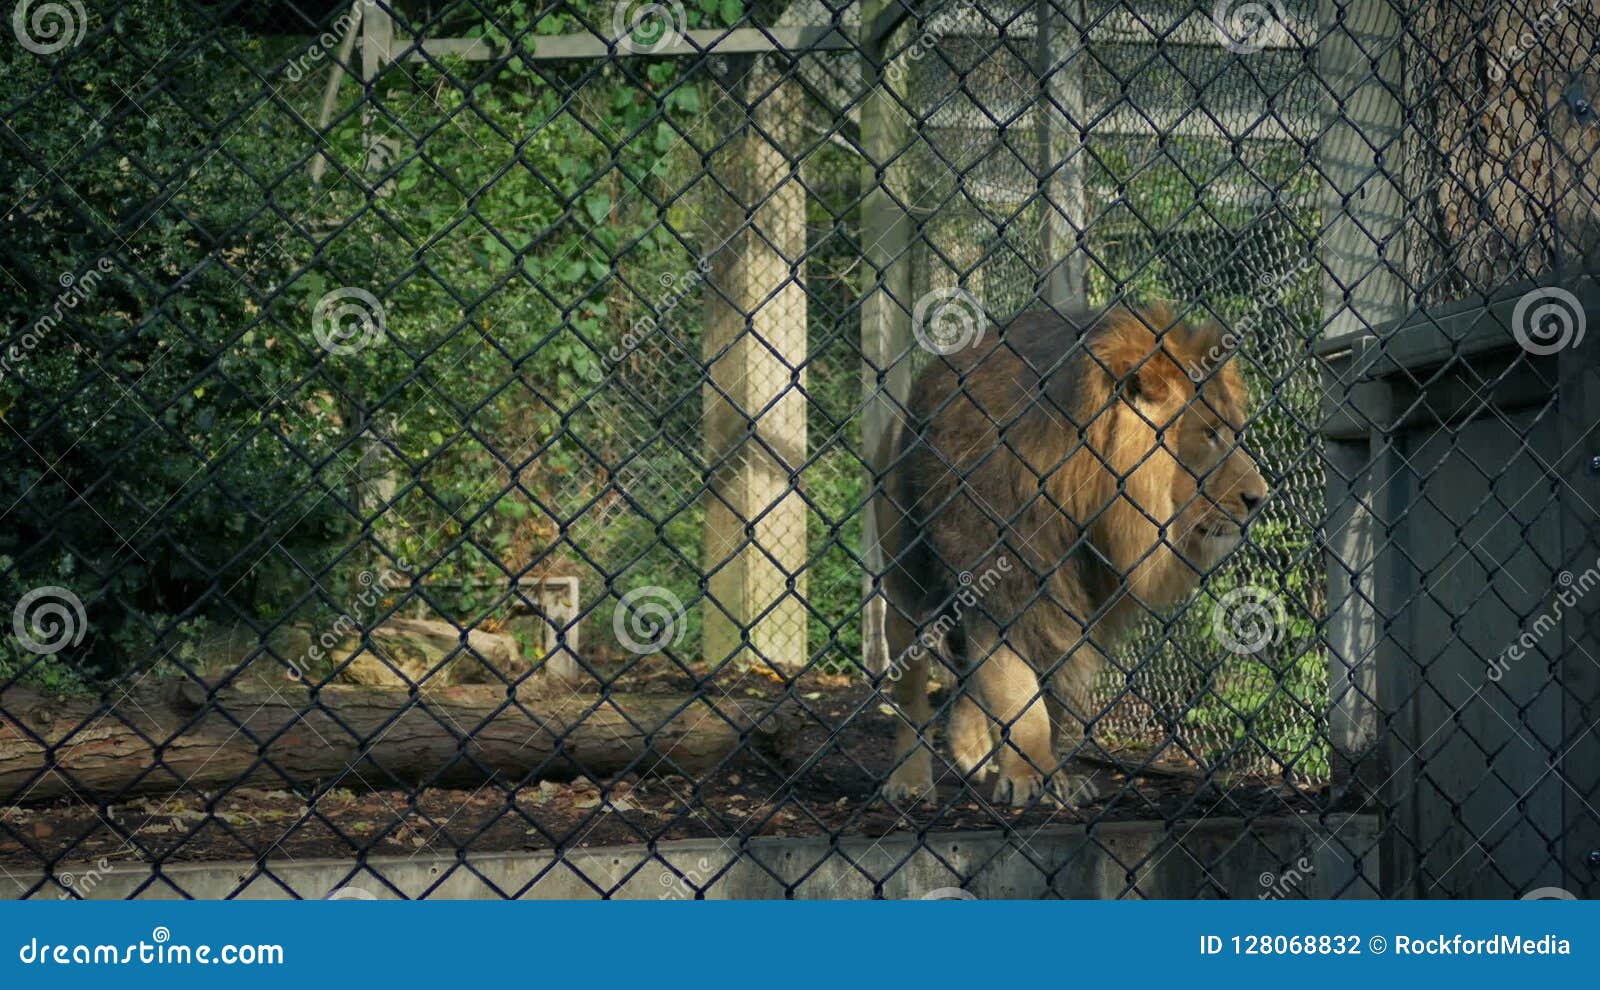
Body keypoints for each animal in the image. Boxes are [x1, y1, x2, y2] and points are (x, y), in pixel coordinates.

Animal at [874, 303, 1268, 806]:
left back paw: (972, 747)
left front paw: (1054, 776)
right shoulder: (1002, 578)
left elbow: (1051, 700)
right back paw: (909, 781)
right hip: (903, 583)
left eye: (1231, 432)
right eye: (1211, 434)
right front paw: (1029, 776)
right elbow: (1017, 692)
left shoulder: (1074, 598)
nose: (1259, 497)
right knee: (910, 692)